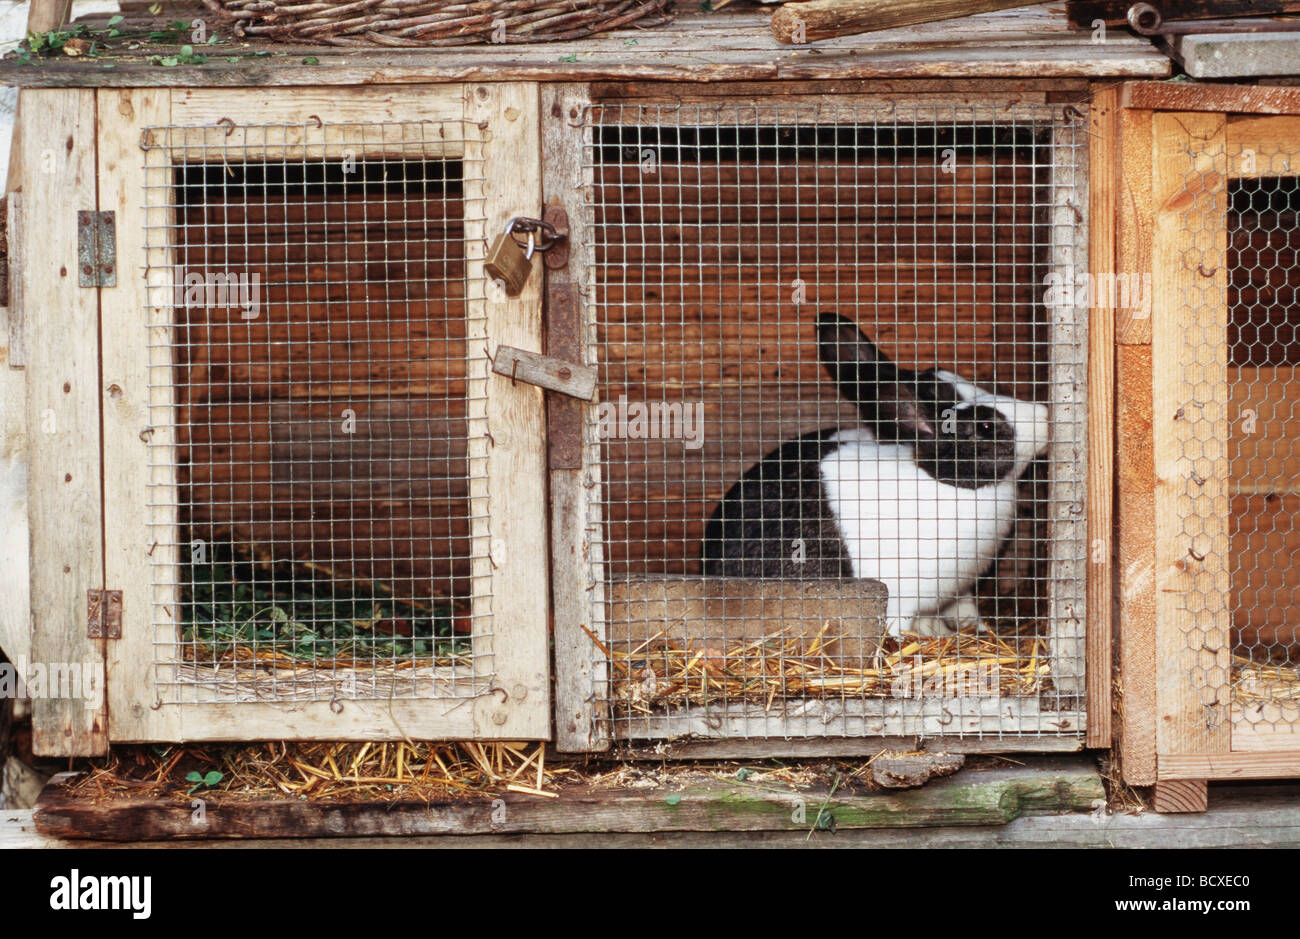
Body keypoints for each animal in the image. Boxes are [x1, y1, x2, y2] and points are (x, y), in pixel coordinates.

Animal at [701, 313, 1050, 638]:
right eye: (986, 426)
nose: (1045, 415)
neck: (948, 484)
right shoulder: (900, 596)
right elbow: (898, 628)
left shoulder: (957, 591)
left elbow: (964, 610)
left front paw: (973, 630)